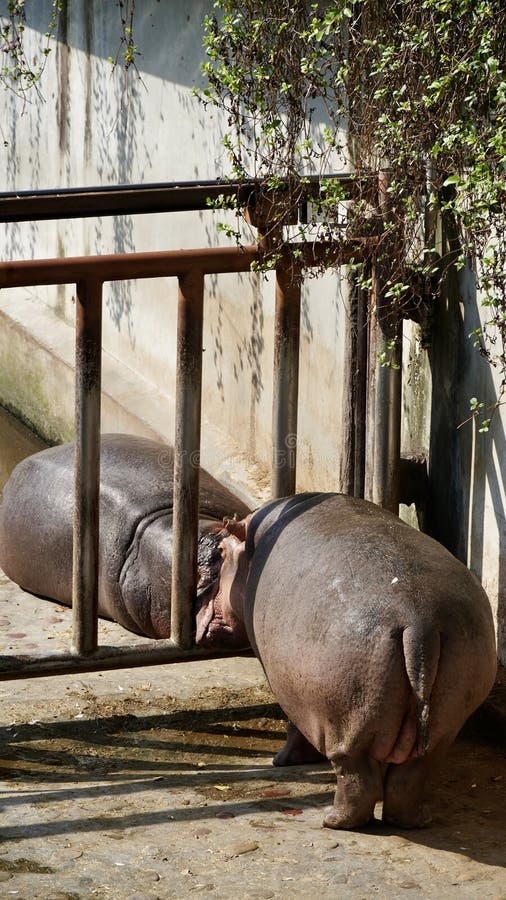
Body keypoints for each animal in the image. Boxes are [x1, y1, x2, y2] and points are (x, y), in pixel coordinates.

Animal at [196, 492, 497, 829]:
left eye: (221, 552)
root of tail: (420, 623)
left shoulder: (288, 684)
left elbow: (294, 724)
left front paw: (282, 761)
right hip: (446, 717)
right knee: (409, 777)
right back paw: (415, 820)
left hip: (345, 719)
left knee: (357, 778)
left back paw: (334, 820)